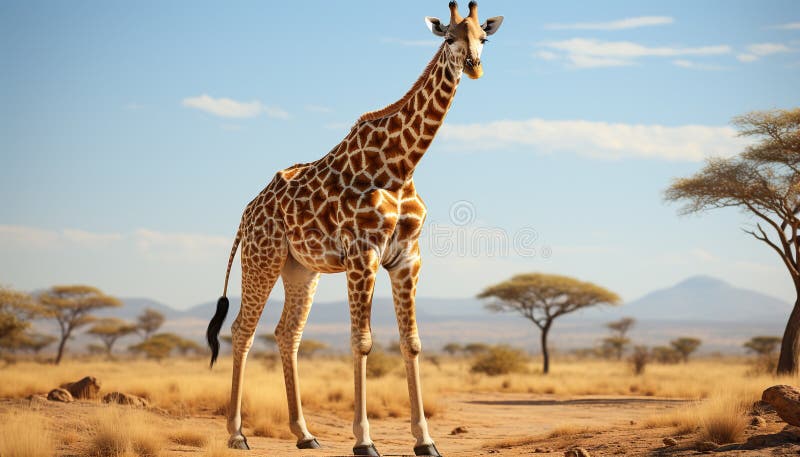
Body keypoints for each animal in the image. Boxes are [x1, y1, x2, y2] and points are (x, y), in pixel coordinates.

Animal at [206, 2, 503, 456]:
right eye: (449, 37)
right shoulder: (363, 253)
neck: (401, 165)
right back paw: (237, 434)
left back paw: (305, 434)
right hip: (262, 257)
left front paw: (425, 440)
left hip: (300, 268)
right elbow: (361, 340)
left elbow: (411, 342)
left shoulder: (407, 257)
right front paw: (364, 441)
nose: (474, 66)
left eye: (483, 38)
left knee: (287, 333)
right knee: (243, 330)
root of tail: (246, 213)